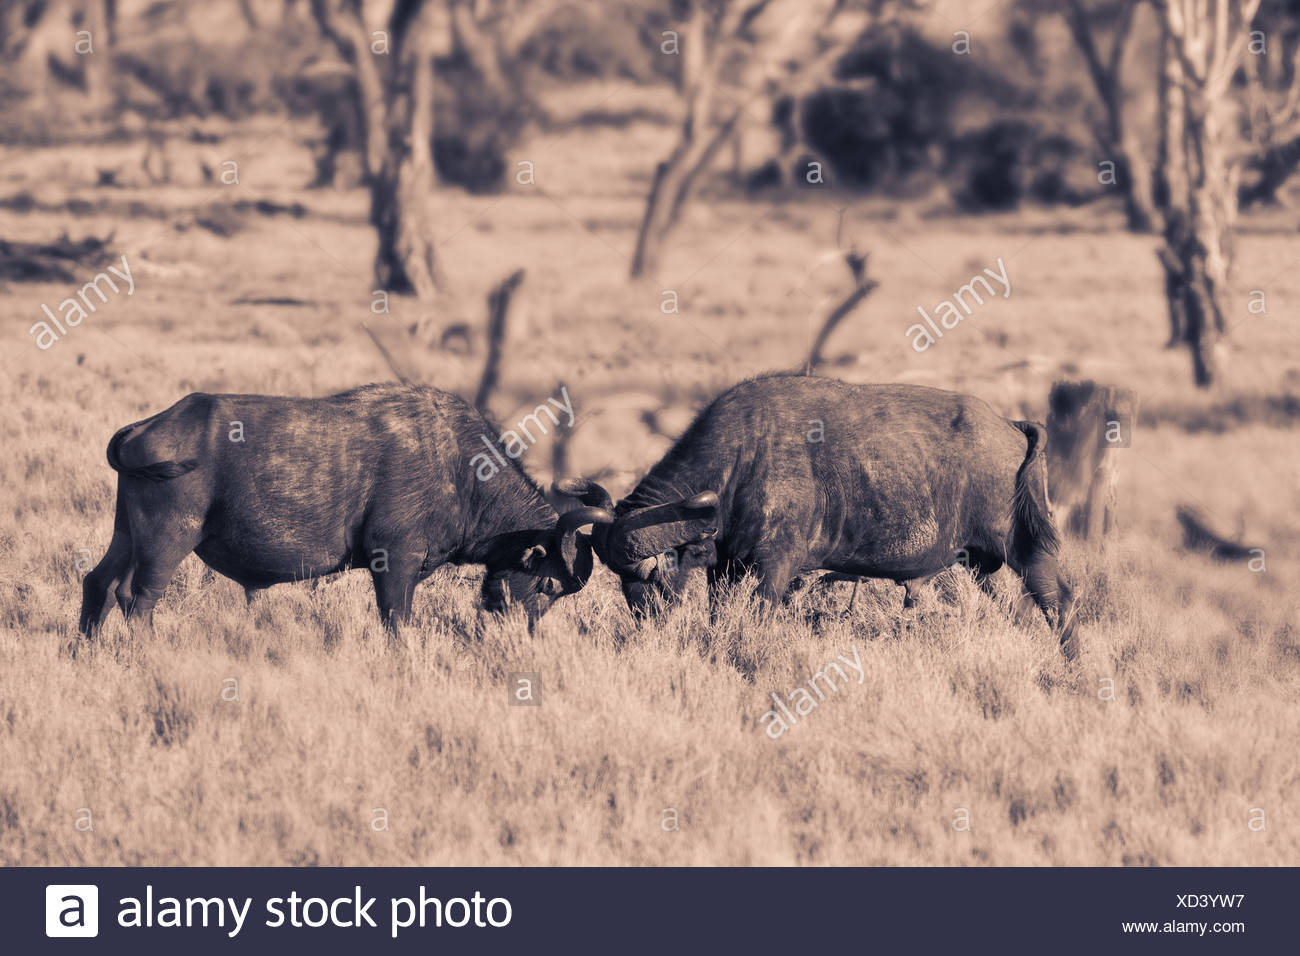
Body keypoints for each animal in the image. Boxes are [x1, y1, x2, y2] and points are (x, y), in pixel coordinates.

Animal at [79, 384, 613, 636]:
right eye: (548, 586)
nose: (523, 633)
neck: (463, 471)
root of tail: (147, 425)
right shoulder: (395, 563)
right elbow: (397, 623)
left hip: (126, 533)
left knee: (98, 583)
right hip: (168, 540)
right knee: (136, 598)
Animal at [559, 374, 1077, 656]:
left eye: (650, 571)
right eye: (619, 577)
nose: (645, 618)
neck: (743, 459)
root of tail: (1010, 426)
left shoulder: (774, 568)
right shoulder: (725, 570)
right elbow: (719, 616)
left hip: (1026, 553)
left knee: (1060, 603)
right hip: (979, 566)